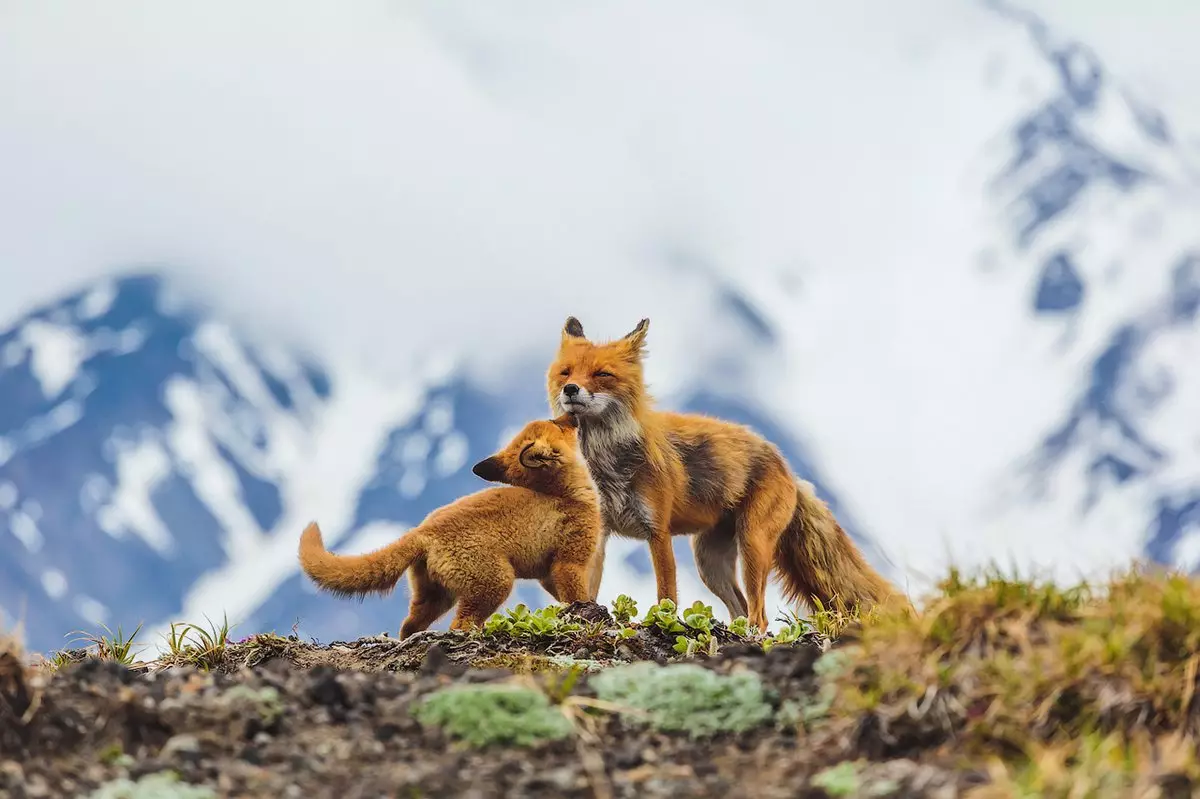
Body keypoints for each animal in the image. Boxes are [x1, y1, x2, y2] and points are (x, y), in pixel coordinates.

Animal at [296, 412, 604, 638]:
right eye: (556, 422)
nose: (572, 411)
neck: (563, 494)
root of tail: (422, 530)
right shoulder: (569, 561)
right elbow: (577, 597)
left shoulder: (547, 574)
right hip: (496, 584)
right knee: (460, 624)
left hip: (436, 597)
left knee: (408, 626)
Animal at [549, 314, 897, 633]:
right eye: (566, 372)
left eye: (602, 374)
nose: (570, 389)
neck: (609, 464)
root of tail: (787, 466)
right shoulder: (600, 531)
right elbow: (588, 588)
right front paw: (584, 616)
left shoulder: (658, 531)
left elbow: (666, 596)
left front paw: (662, 624)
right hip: (710, 564)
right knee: (740, 608)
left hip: (752, 546)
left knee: (759, 616)